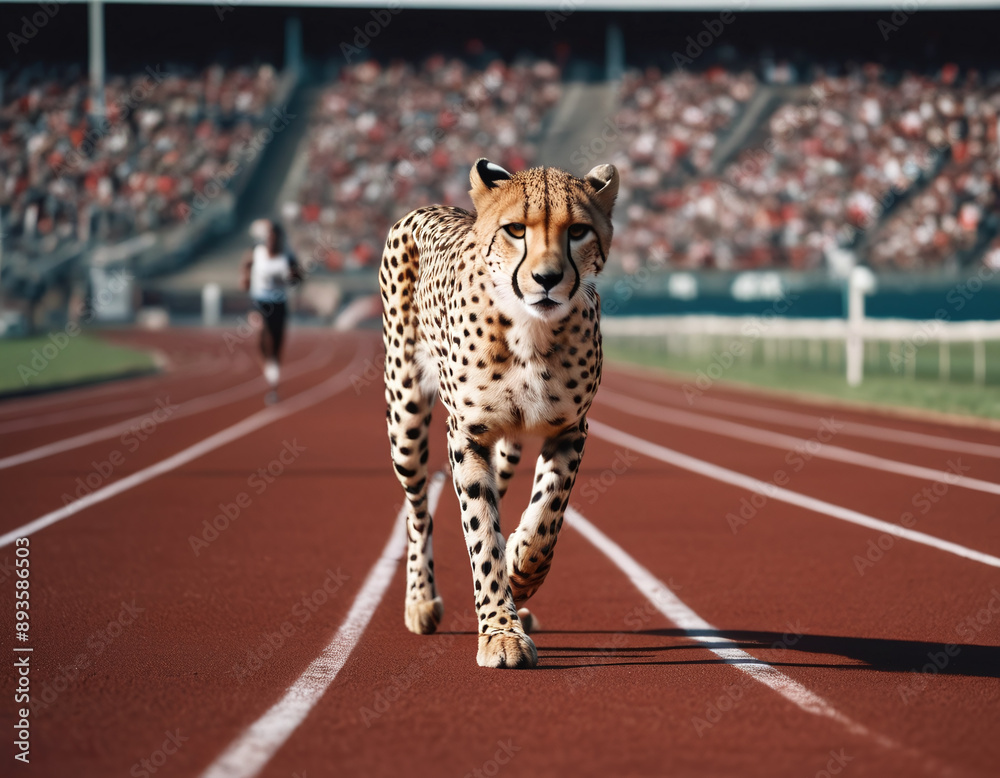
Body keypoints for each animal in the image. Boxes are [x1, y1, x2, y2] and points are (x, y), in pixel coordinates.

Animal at [380, 158, 619, 668]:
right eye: (515, 230)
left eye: (578, 231)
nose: (547, 279)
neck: (531, 330)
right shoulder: (466, 435)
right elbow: (480, 534)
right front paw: (500, 633)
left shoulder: (570, 428)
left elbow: (547, 512)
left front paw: (523, 571)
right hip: (405, 415)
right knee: (418, 512)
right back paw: (420, 600)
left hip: (506, 446)